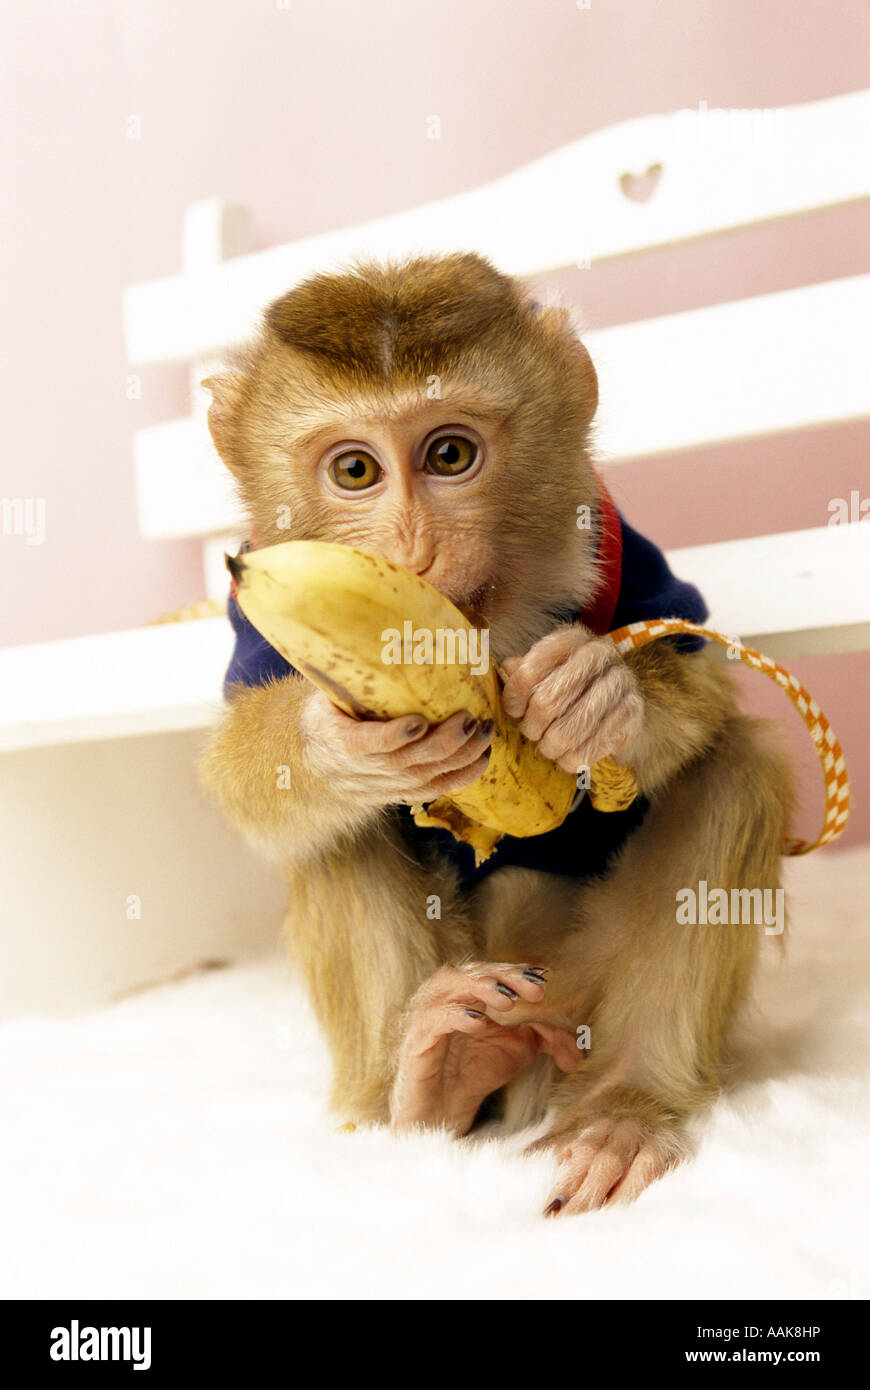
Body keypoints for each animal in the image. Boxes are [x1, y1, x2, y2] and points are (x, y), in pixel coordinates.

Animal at [199, 252, 793, 1216]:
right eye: (355, 470)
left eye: (450, 455)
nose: (415, 551)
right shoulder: (250, 615)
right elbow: (248, 786)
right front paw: (335, 746)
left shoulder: (619, 537)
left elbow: (697, 678)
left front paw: (599, 696)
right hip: (472, 977)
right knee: (334, 837)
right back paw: (428, 1085)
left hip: (576, 990)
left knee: (733, 771)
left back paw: (626, 1105)